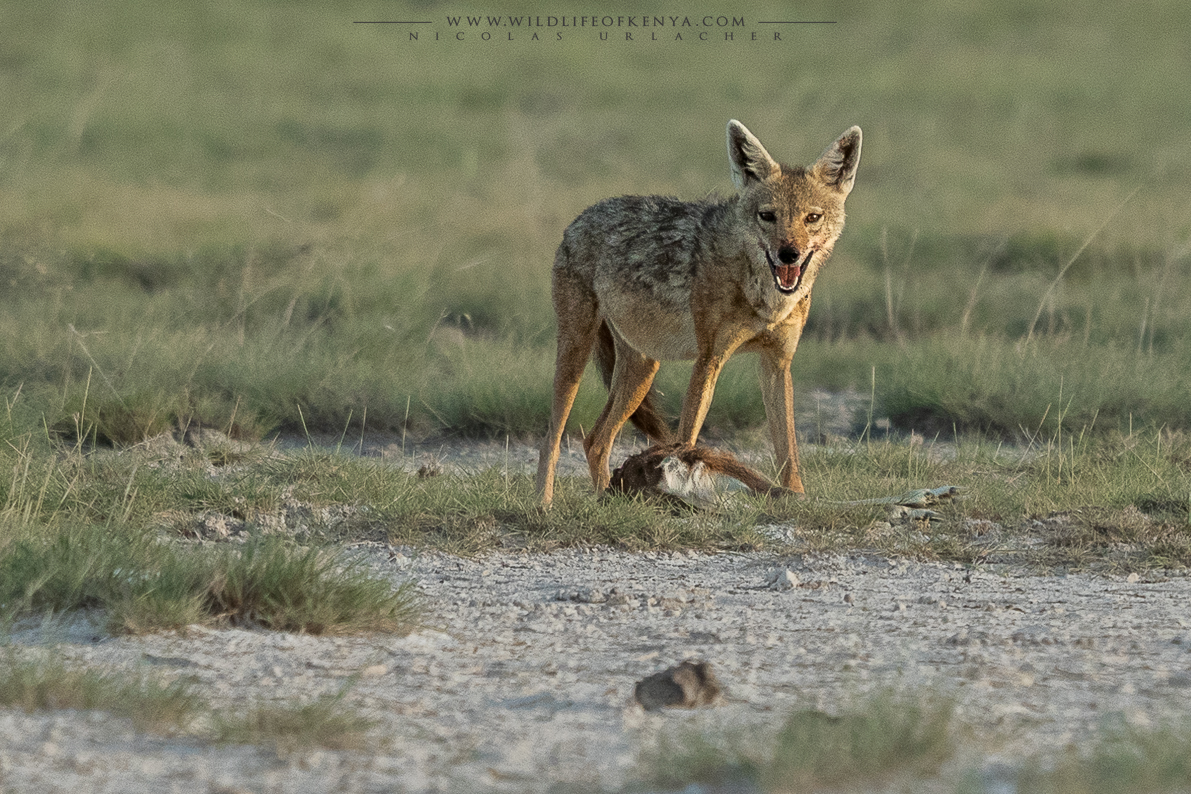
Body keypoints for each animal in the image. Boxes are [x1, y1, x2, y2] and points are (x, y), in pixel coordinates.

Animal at [536, 120, 862, 505]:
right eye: (767, 216)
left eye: (812, 218)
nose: (789, 254)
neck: (762, 297)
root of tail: (580, 217)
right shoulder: (709, 359)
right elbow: (687, 437)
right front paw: (678, 481)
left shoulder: (778, 363)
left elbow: (789, 449)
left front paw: (794, 496)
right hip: (576, 353)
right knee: (552, 439)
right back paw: (543, 504)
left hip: (641, 369)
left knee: (596, 440)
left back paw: (608, 501)